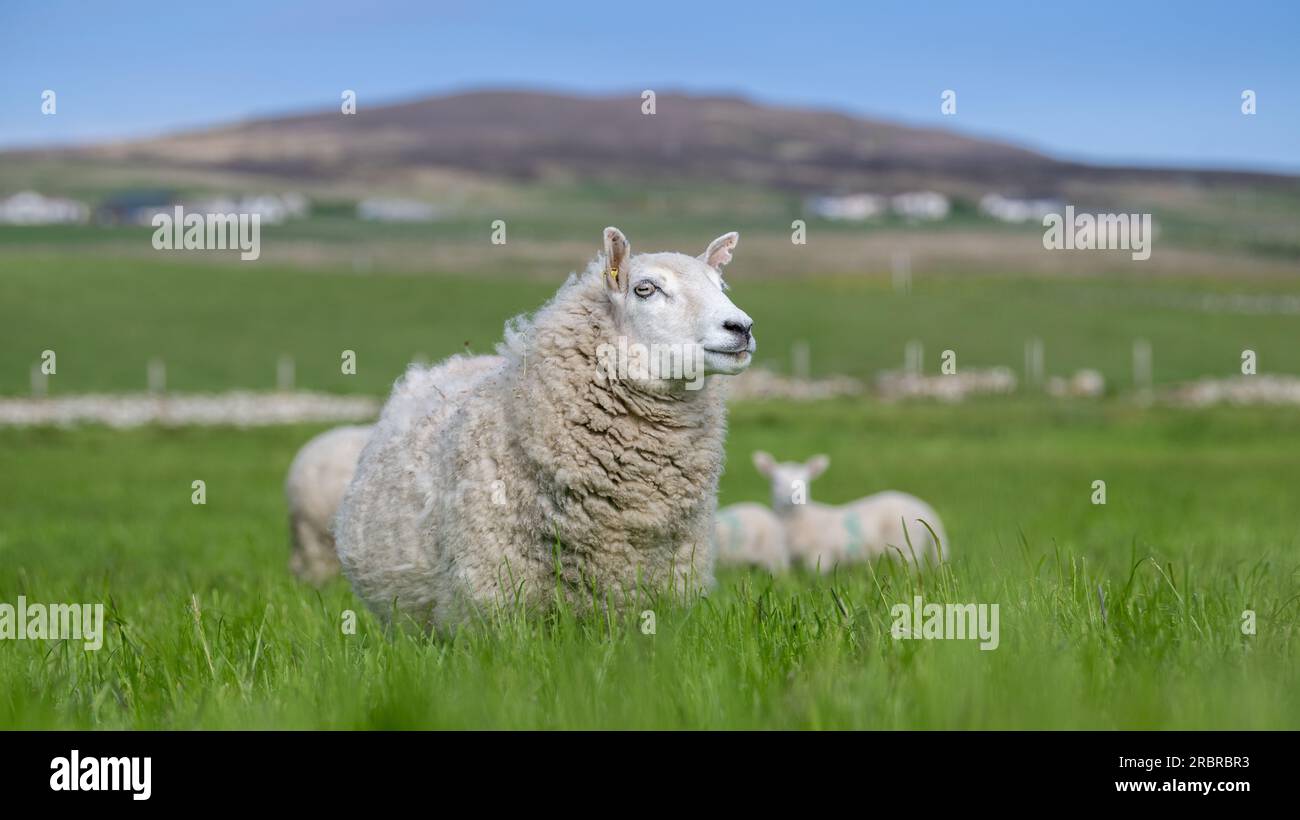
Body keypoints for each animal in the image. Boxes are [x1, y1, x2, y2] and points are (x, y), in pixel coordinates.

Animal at [751, 451, 947, 572]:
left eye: (806, 482)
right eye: (775, 481)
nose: (792, 499)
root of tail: (922, 506)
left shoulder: (820, 554)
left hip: (906, 544)